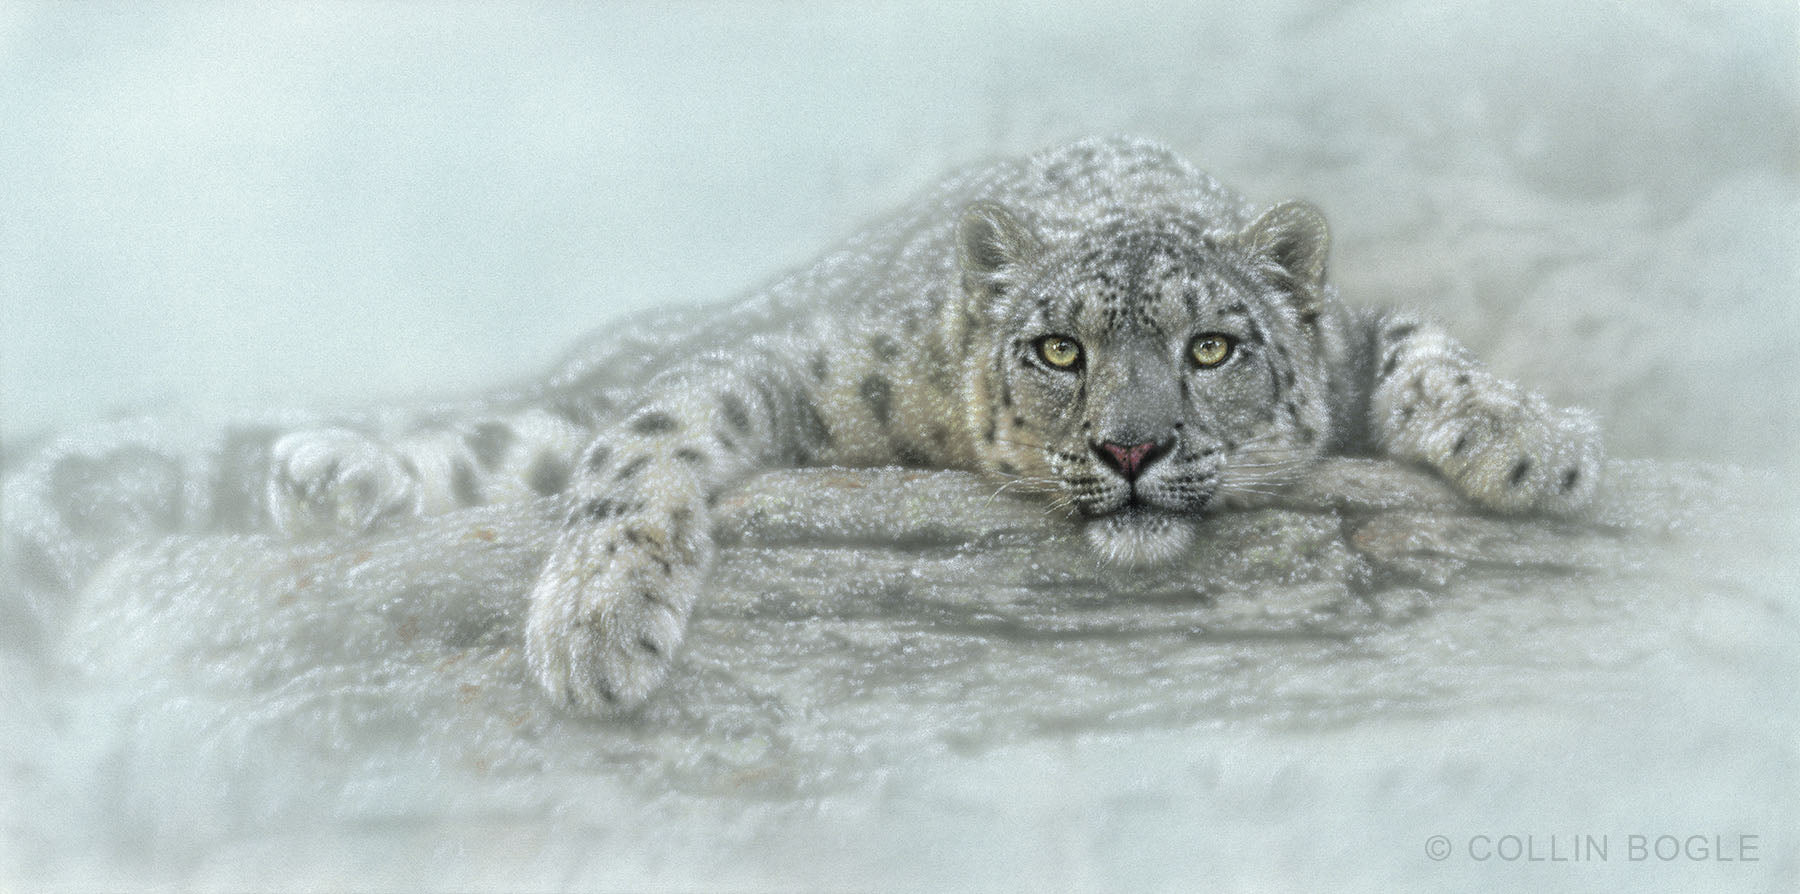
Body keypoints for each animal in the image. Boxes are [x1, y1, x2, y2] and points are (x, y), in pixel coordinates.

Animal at [1, 136, 1601, 712]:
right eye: (1059, 347)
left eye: (1214, 346)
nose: (1134, 448)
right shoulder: (798, 365)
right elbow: (638, 441)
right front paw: (595, 622)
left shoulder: (1361, 336)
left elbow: (1433, 353)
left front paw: (1536, 439)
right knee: (525, 428)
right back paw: (329, 472)